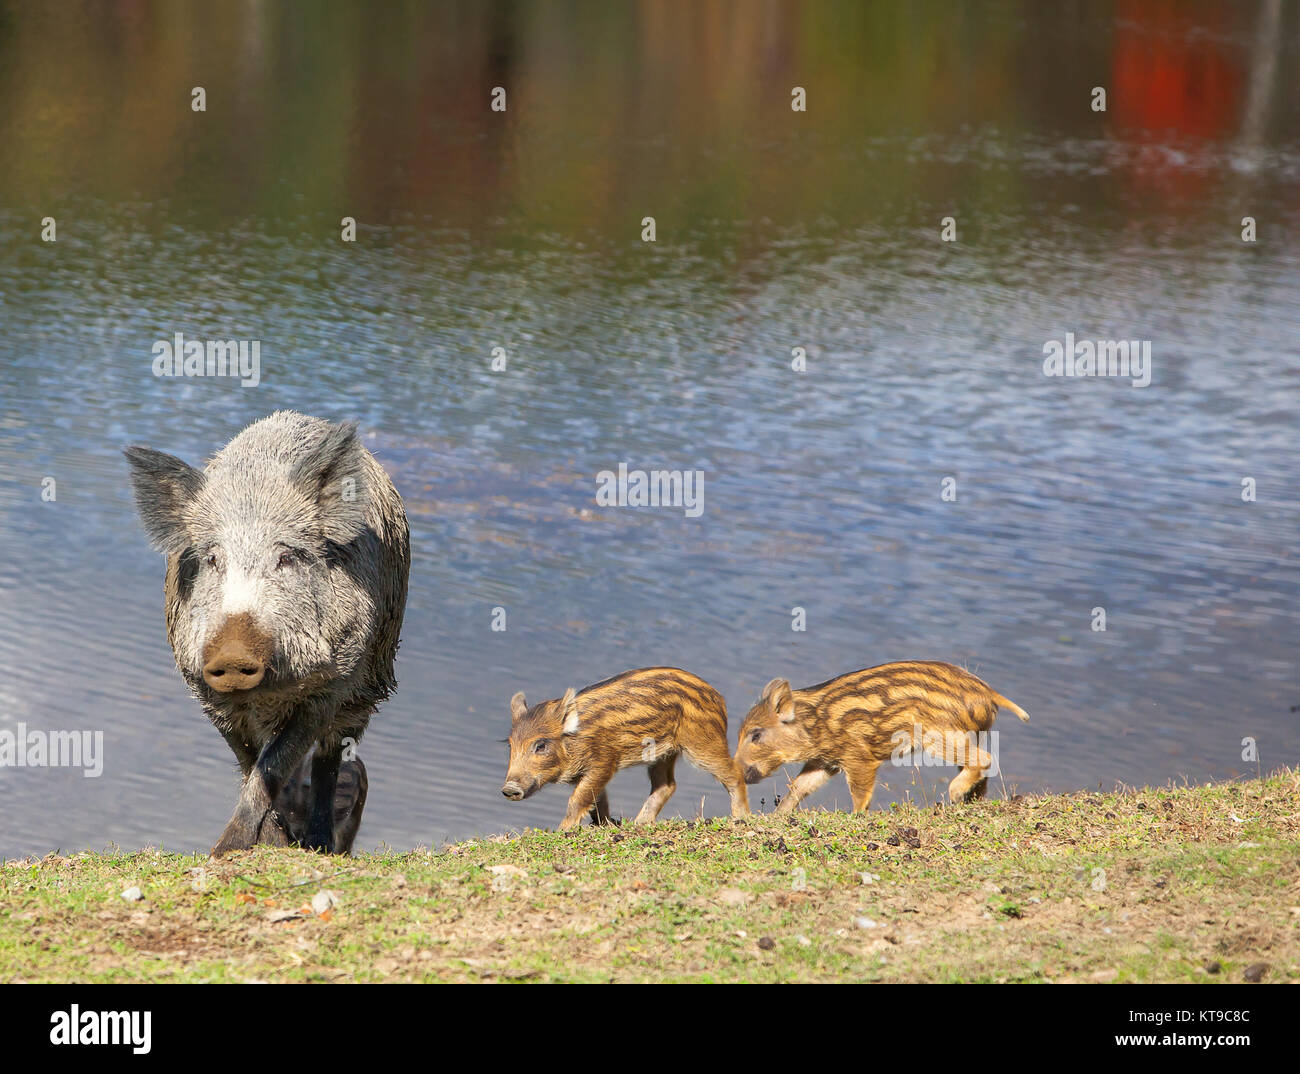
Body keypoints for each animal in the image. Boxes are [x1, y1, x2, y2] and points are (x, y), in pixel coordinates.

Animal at [124, 411, 409, 856]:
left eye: (286, 556)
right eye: (212, 558)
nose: (232, 654)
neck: (269, 692)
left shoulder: (332, 684)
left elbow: (277, 762)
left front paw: (229, 850)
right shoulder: (209, 695)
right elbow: (250, 762)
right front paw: (254, 847)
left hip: (369, 684)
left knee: (330, 758)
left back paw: (320, 844)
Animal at [502, 667, 750, 830]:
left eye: (540, 745)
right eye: (511, 745)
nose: (509, 789)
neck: (575, 739)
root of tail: (718, 697)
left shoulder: (604, 762)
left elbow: (579, 799)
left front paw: (563, 830)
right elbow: (598, 800)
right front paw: (605, 825)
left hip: (702, 743)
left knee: (734, 773)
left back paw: (741, 817)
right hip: (663, 754)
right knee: (667, 784)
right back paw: (641, 823)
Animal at [734, 661, 1029, 812]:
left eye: (756, 735)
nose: (737, 772)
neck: (815, 723)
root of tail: (989, 693)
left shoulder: (859, 758)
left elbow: (860, 793)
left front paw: (856, 817)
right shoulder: (824, 762)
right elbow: (799, 787)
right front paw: (778, 817)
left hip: (941, 737)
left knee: (984, 759)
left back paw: (954, 795)